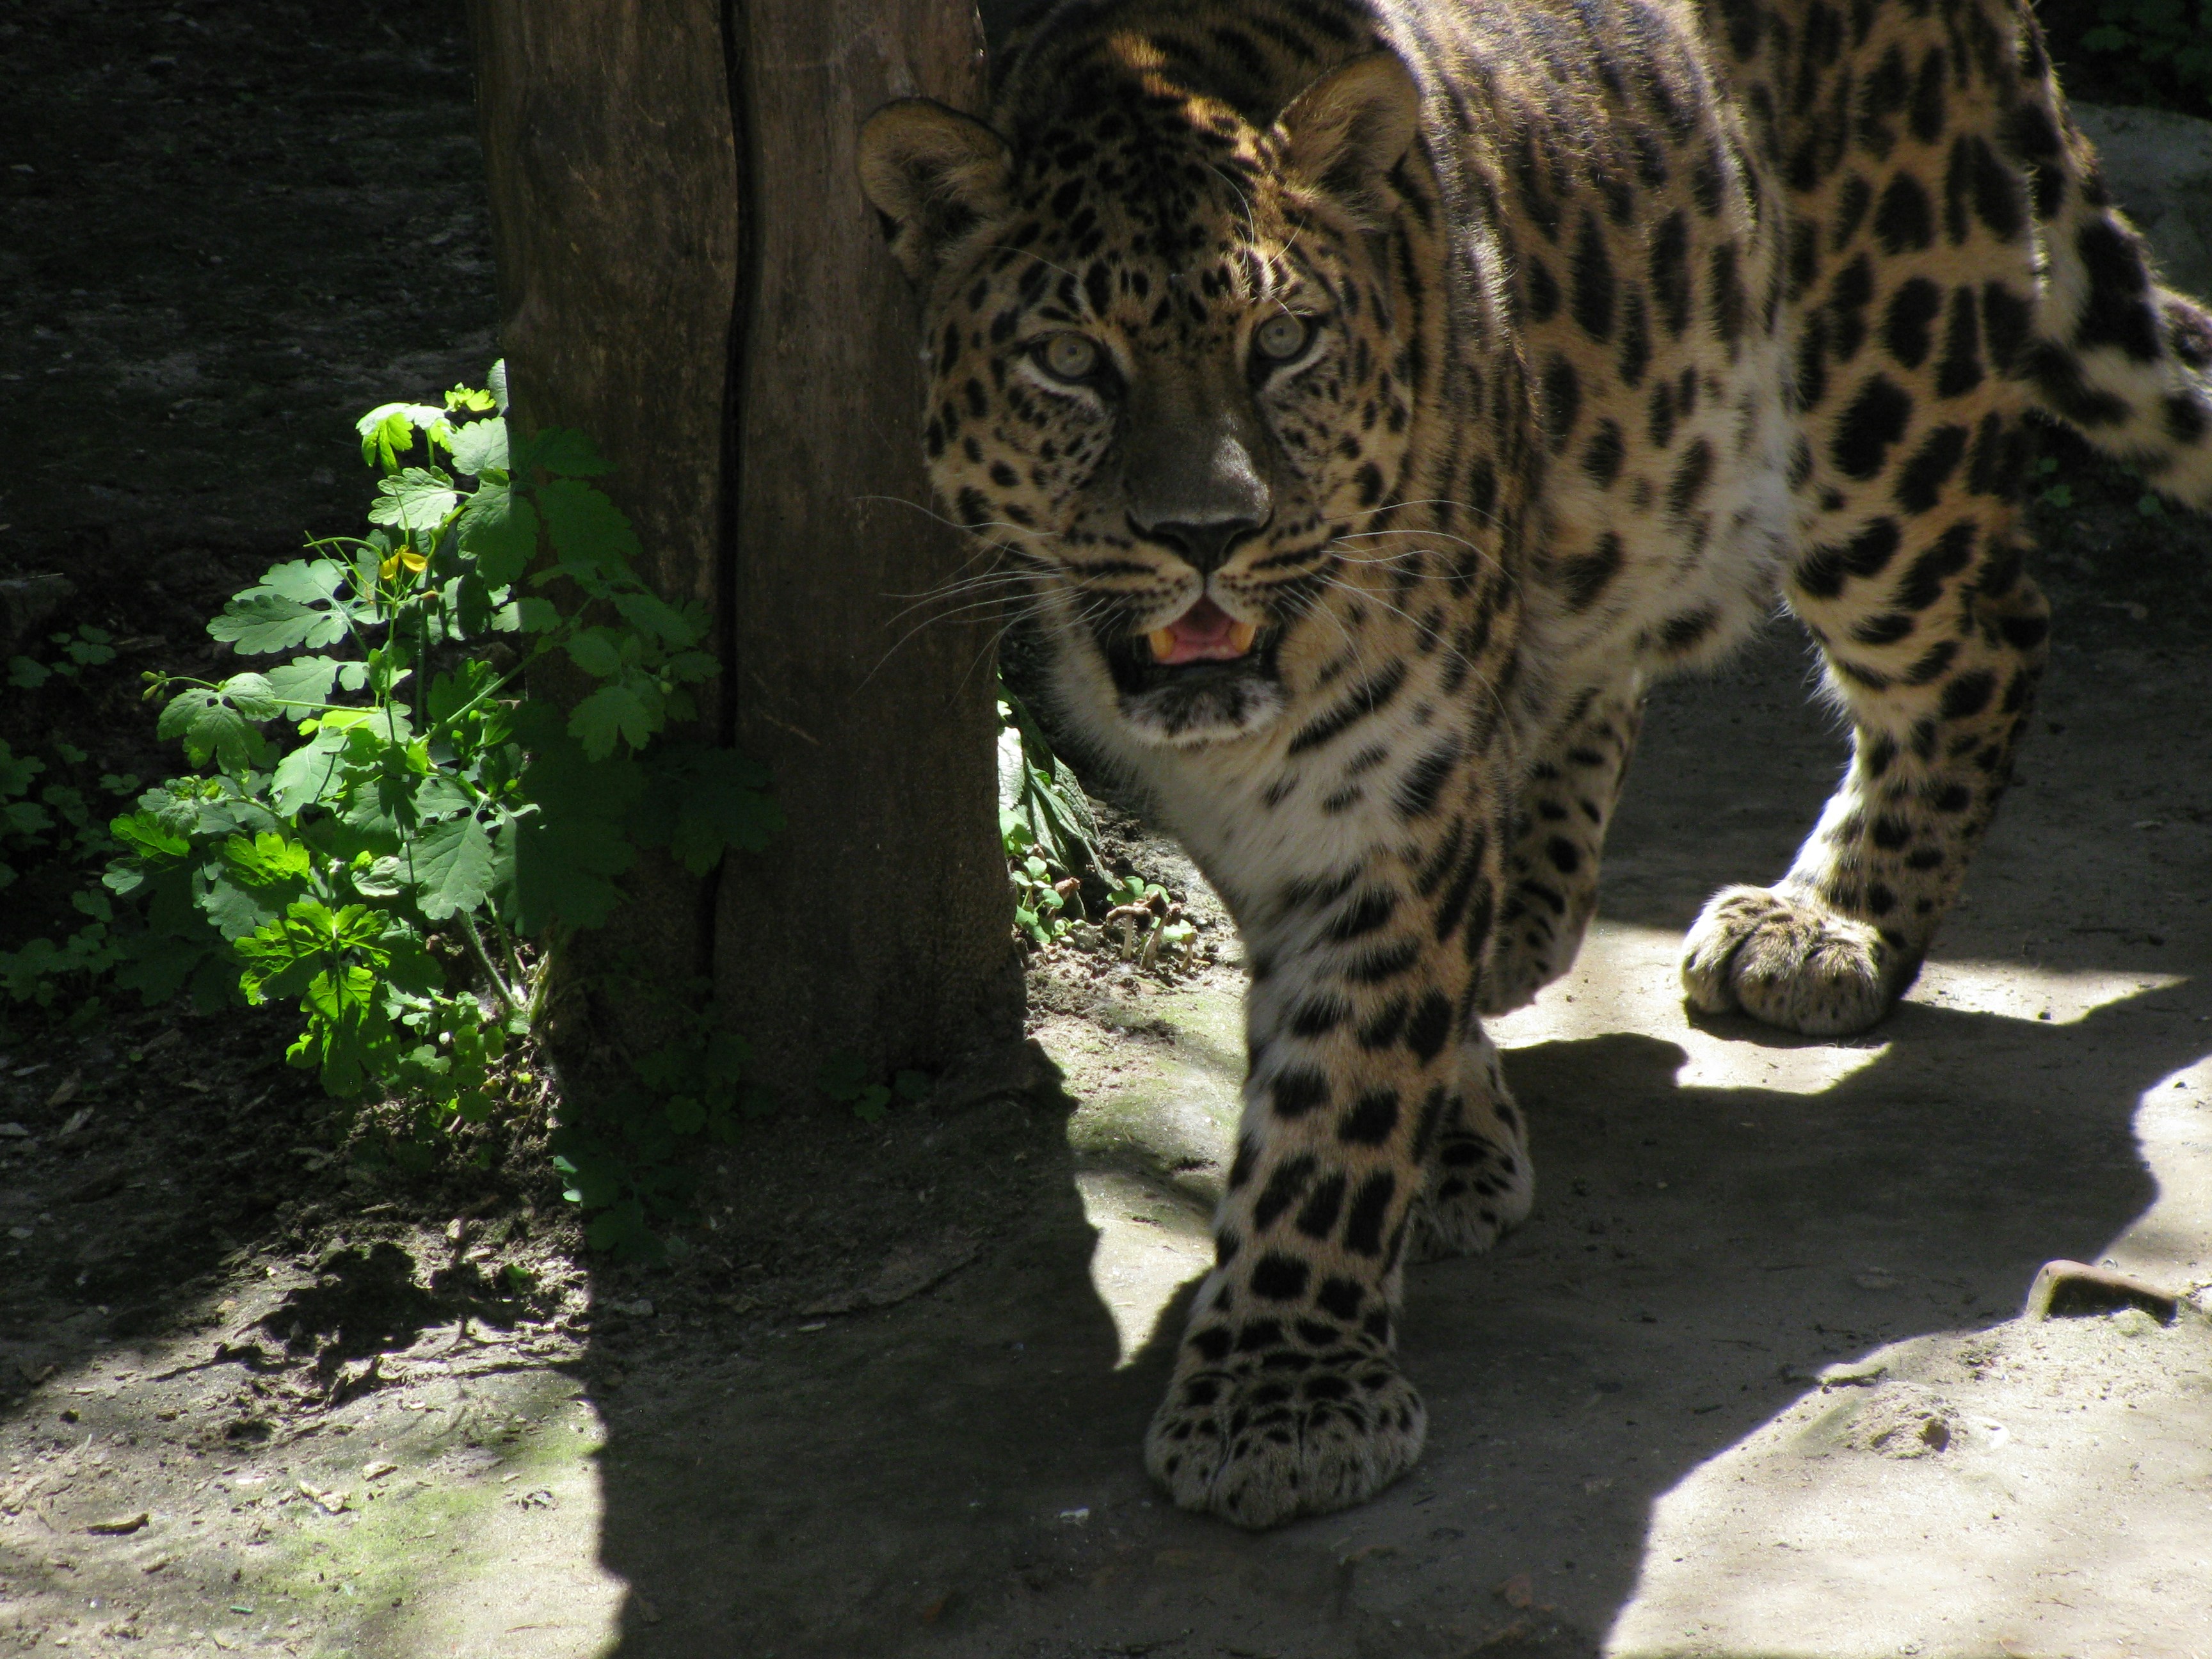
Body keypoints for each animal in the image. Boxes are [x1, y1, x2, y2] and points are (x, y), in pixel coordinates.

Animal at [858, 0, 2212, 1528]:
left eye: (1286, 342)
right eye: (1071, 361)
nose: (1207, 533)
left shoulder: (1379, 797)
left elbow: (1342, 1095)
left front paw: (1283, 1391)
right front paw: (1452, 1145)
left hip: (1876, 417)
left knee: (1989, 633)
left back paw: (1829, 923)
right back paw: (1535, 910)